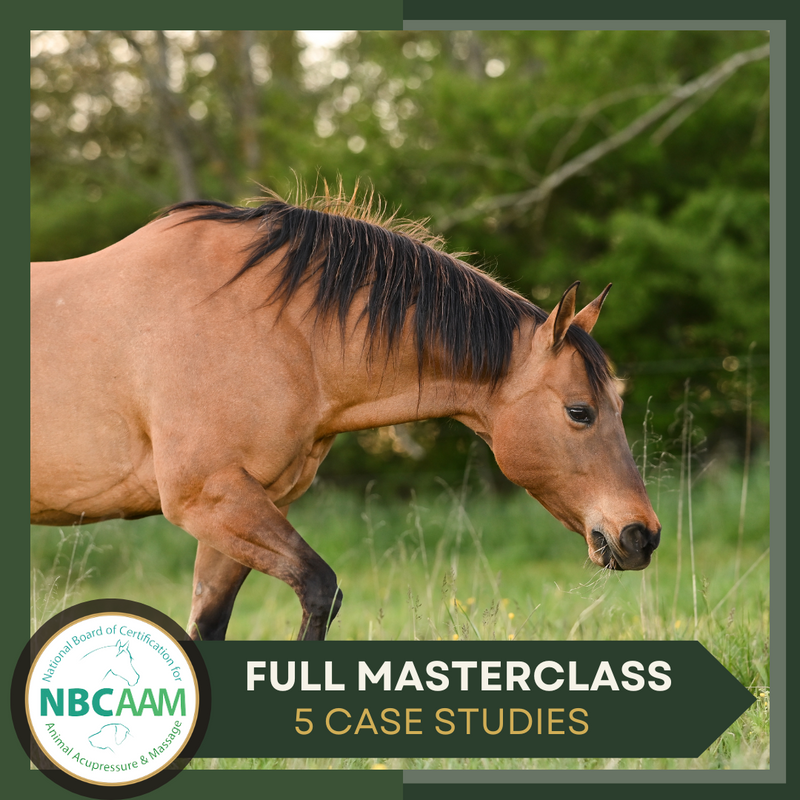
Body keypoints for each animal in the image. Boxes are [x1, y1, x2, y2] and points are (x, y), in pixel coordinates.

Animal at [30, 187, 661, 641]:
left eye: (618, 403)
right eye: (580, 412)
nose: (641, 535)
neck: (273, 329)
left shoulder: (245, 507)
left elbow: (209, 624)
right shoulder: (208, 499)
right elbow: (320, 590)